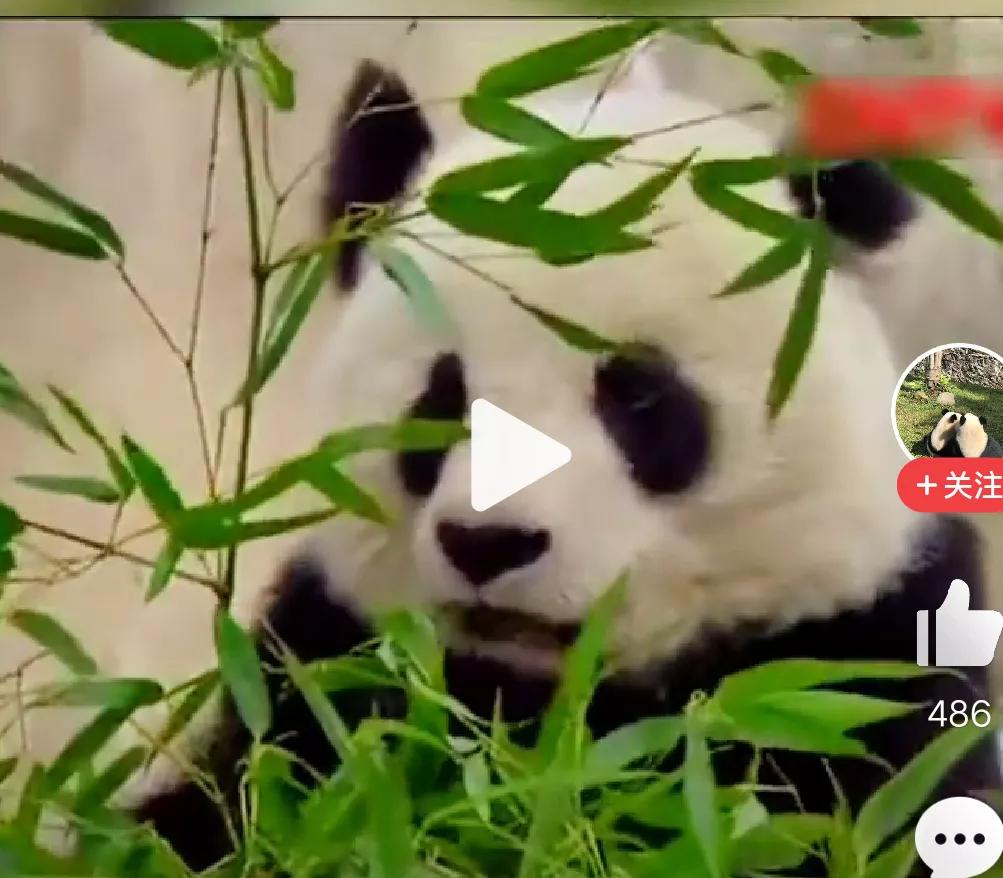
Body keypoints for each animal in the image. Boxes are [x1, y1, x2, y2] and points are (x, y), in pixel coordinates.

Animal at [130, 59, 1001, 868]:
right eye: (442, 398)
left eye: (638, 396)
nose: (488, 543)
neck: (542, 703)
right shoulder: (323, 672)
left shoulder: (857, 667)